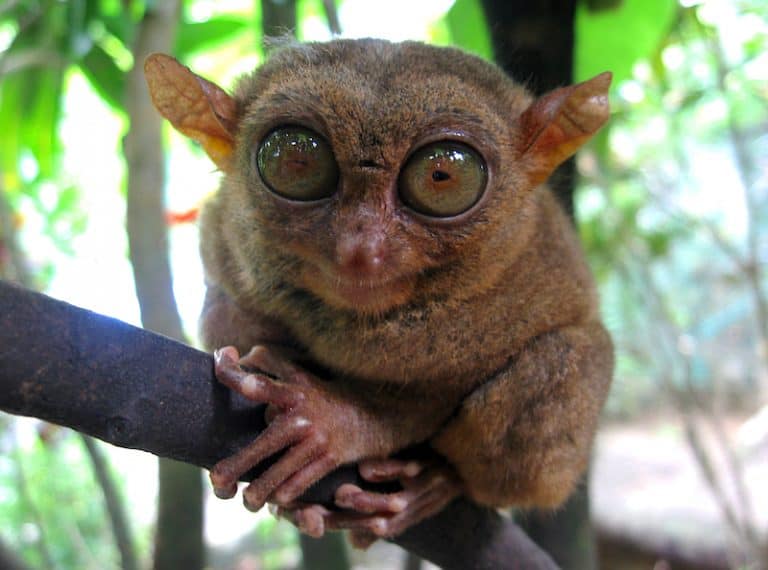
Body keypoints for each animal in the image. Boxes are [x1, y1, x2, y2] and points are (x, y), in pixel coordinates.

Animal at [144, 38, 614, 547]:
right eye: (295, 160)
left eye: (443, 177)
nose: (360, 246)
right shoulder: (222, 237)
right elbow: (224, 317)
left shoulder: (505, 307)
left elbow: (427, 398)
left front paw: (326, 425)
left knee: (563, 359)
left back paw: (431, 485)